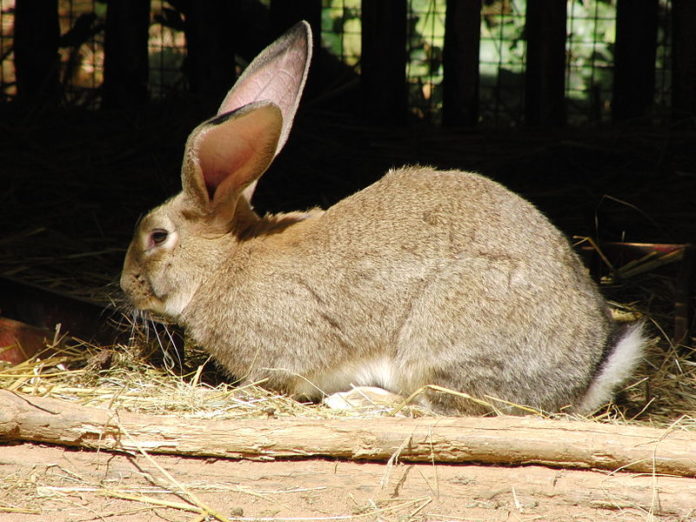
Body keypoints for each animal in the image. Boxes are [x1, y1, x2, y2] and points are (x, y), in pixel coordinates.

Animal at [120, 21, 645, 415]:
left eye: (158, 236)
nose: (126, 286)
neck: (223, 263)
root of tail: (583, 379)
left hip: (444, 335)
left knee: (443, 406)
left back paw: (358, 401)